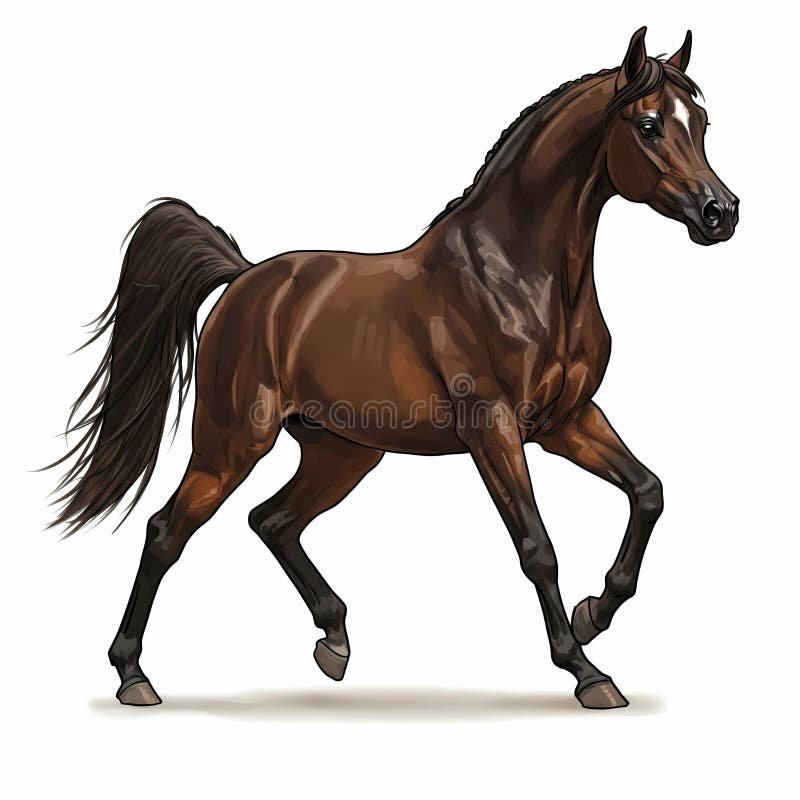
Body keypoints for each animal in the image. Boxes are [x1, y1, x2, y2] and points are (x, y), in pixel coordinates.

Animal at [51, 26, 738, 709]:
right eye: (648, 125)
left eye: (701, 121)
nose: (721, 213)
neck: (518, 275)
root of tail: (246, 280)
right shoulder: (493, 429)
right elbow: (537, 547)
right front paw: (586, 669)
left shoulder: (566, 420)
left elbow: (648, 492)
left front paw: (594, 612)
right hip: (232, 444)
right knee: (168, 530)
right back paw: (133, 675)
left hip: (343, 452)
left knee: (271, 521)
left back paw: (333, 640)